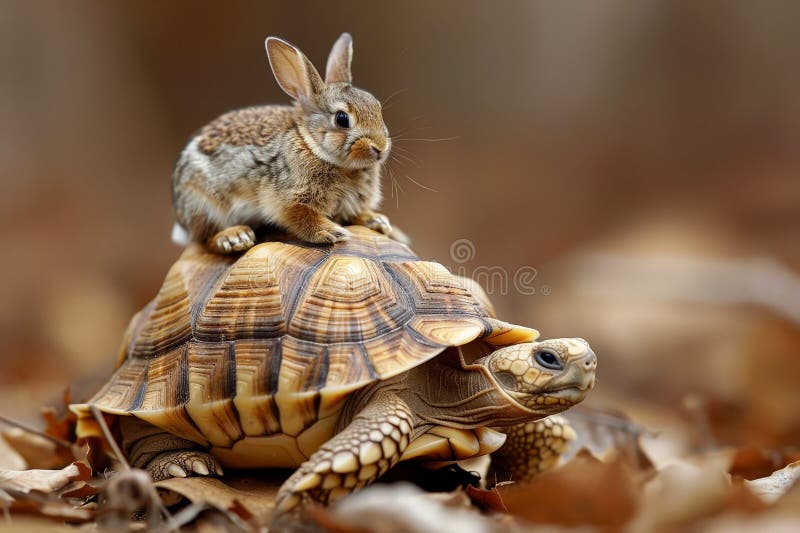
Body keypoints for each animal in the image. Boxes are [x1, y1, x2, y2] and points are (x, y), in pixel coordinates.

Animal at [171, 33, 407, 254]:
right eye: (342, 119)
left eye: (377, 107)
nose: (380, 148)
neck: (312, 145)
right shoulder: (288, 200)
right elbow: (302, 218)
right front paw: (331, 232)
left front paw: (377, 221)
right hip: (203, 203)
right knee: (204, 238)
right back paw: (234, 237)